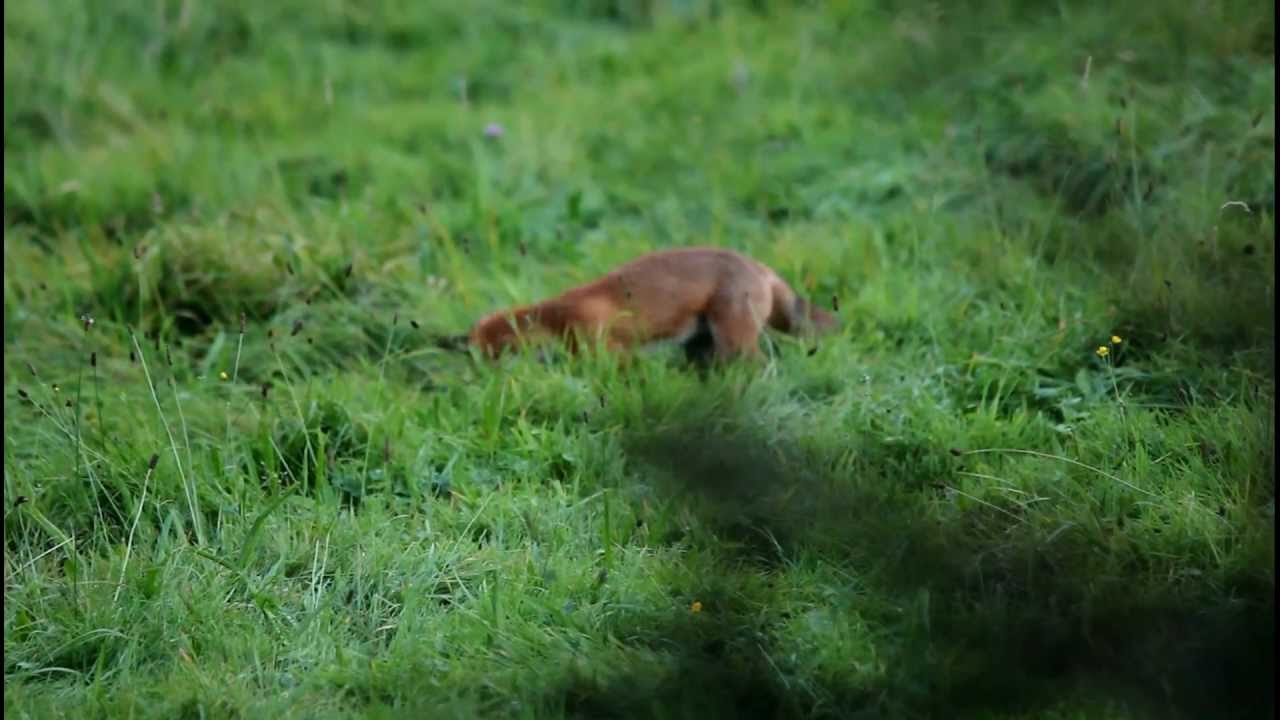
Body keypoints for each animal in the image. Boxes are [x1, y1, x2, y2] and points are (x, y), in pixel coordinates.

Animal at [455, 247, 839, 364]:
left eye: (494, 355)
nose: (481, 379)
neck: (557, 317)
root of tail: (760, 267)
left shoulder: (607, 346)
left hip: (733, 339)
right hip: (702, 343)